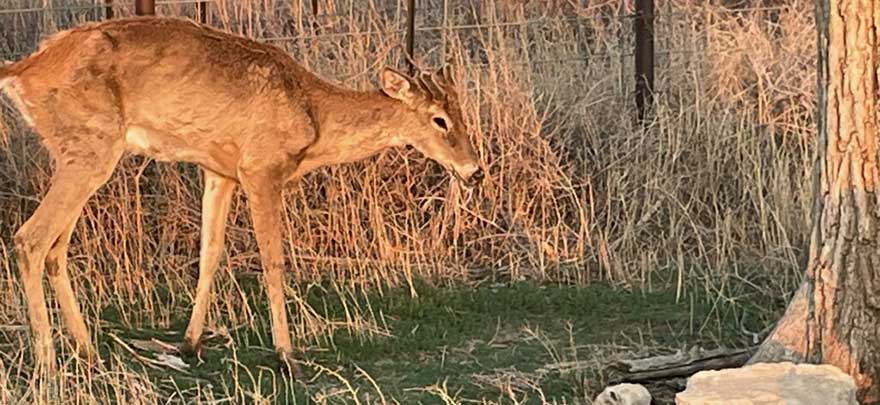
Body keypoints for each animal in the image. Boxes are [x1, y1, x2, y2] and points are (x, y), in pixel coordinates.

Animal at [0, 17, 484, 375]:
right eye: (439, 119)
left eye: (462, 113)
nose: (475, 171)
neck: (313, 116)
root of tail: (21, 72)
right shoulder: (260, 169)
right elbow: (273, 261)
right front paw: (287, 356)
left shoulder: (219, 171)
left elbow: (209, 254)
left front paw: (191, 343)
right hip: (90, 147)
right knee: (30, 239)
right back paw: (47, 364)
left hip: (84, 153)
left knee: (55, 247)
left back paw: (88, 352)